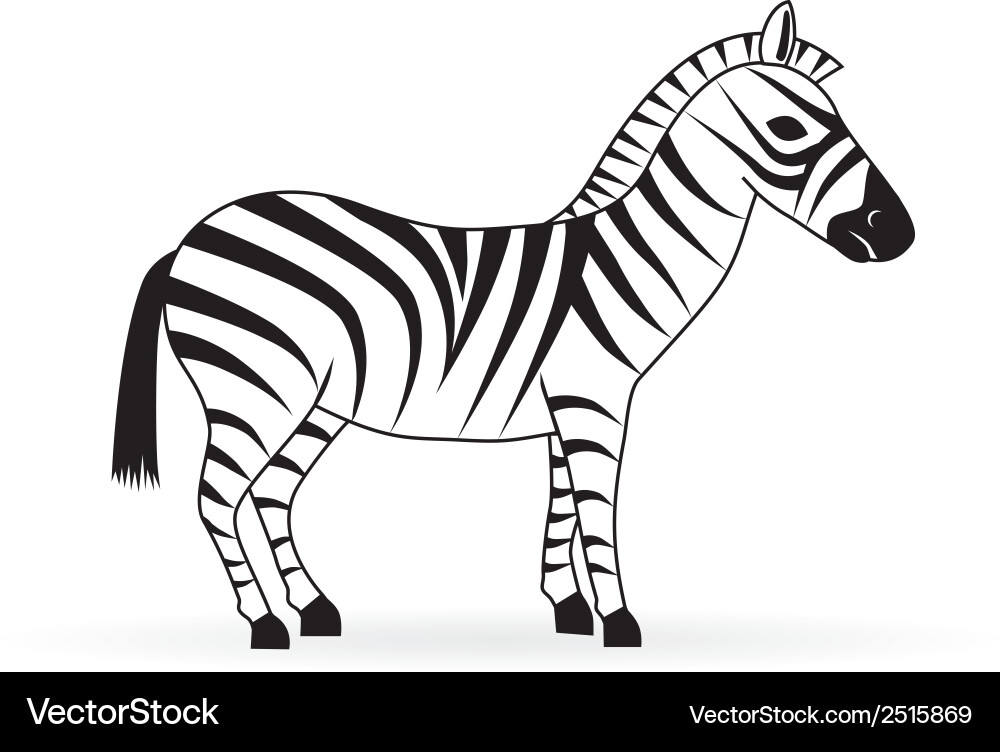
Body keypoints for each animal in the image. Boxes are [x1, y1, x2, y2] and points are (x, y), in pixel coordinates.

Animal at [111, 3, 914, 649]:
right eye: (789, 127)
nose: (897, 231)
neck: (623, 255)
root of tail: (190, 237)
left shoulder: (568, 403)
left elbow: (563, 506)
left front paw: (570, 610)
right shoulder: (593, 399)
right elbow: (596, 506)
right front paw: (620, 623)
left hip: (318, 402)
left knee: (271, 493)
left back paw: (314, 610)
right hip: (254, 386)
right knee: (217, 496)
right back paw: (266, 625)